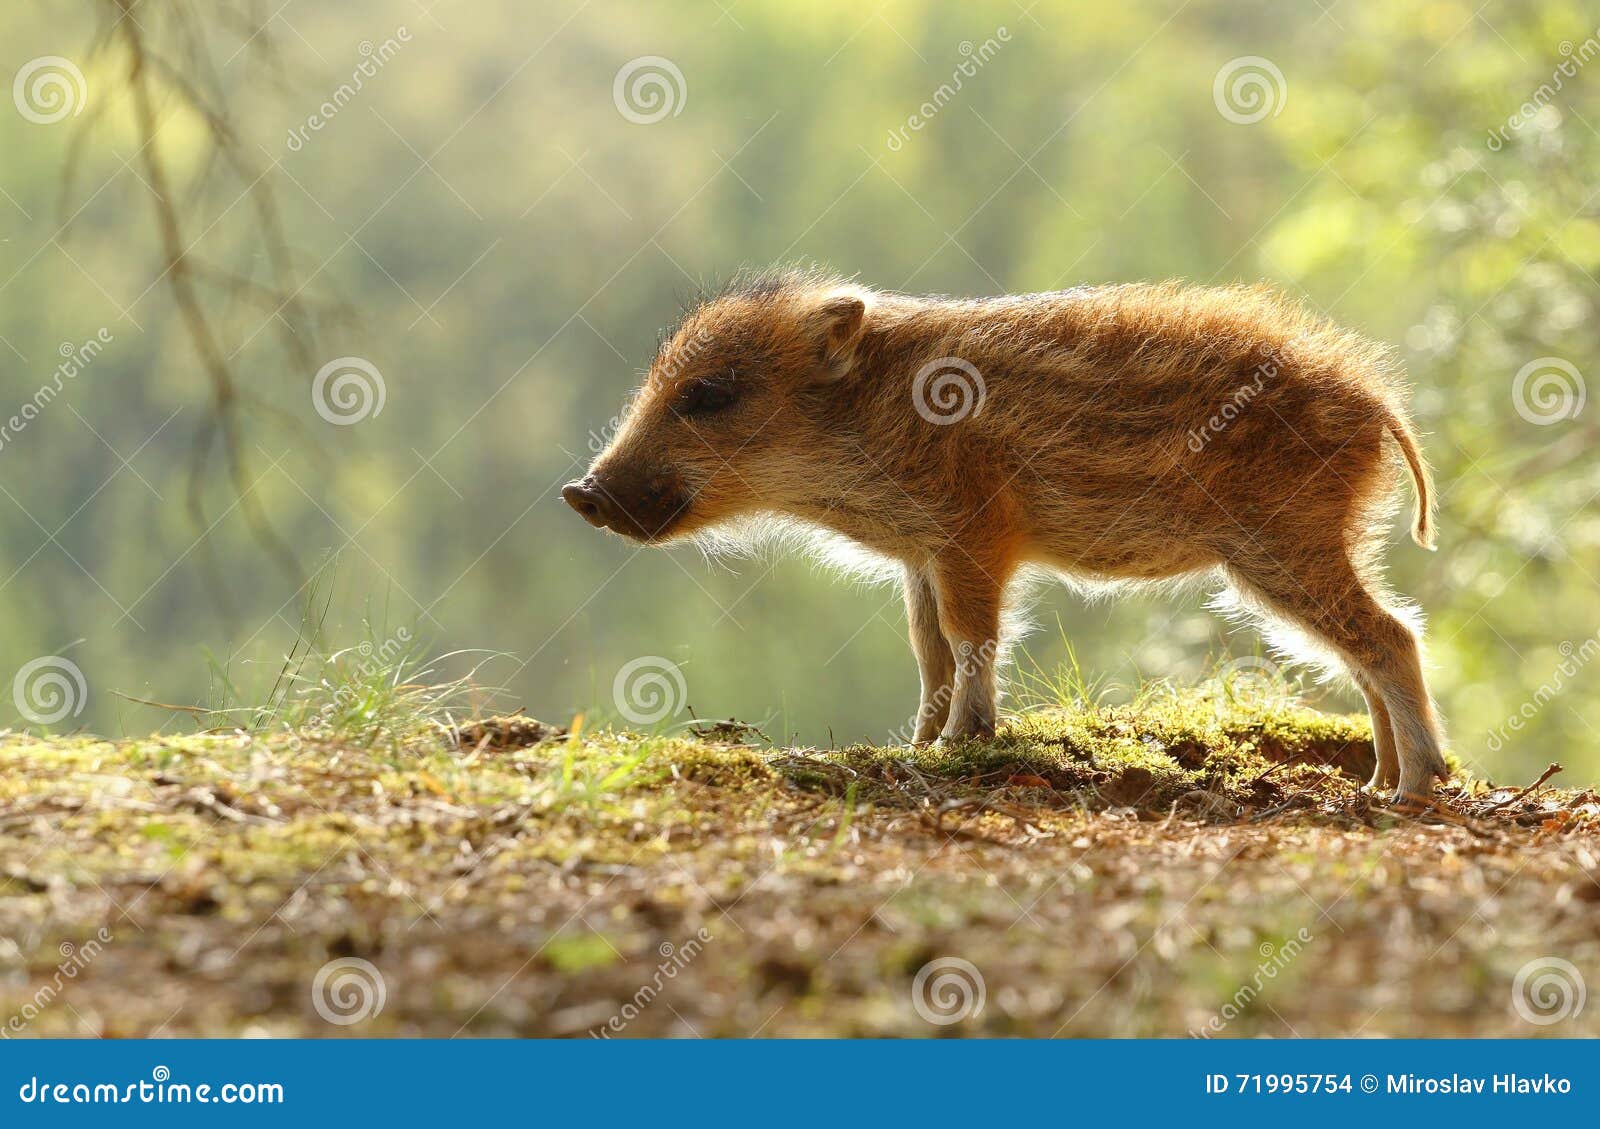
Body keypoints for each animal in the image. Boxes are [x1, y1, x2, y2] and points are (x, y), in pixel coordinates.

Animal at [564, 269, 1449, 803]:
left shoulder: (972, 532)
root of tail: (1375, 402)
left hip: (1279, 542)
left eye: (710, 393)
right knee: (1364, 650)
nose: (581, 491)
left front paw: (962, 745)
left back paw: (1412, 790)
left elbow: (970, 636)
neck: (866, 422)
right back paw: (1376, 784)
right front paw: (918, 746)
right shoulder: (921, 554)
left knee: (1391, 637)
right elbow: (928, 649)